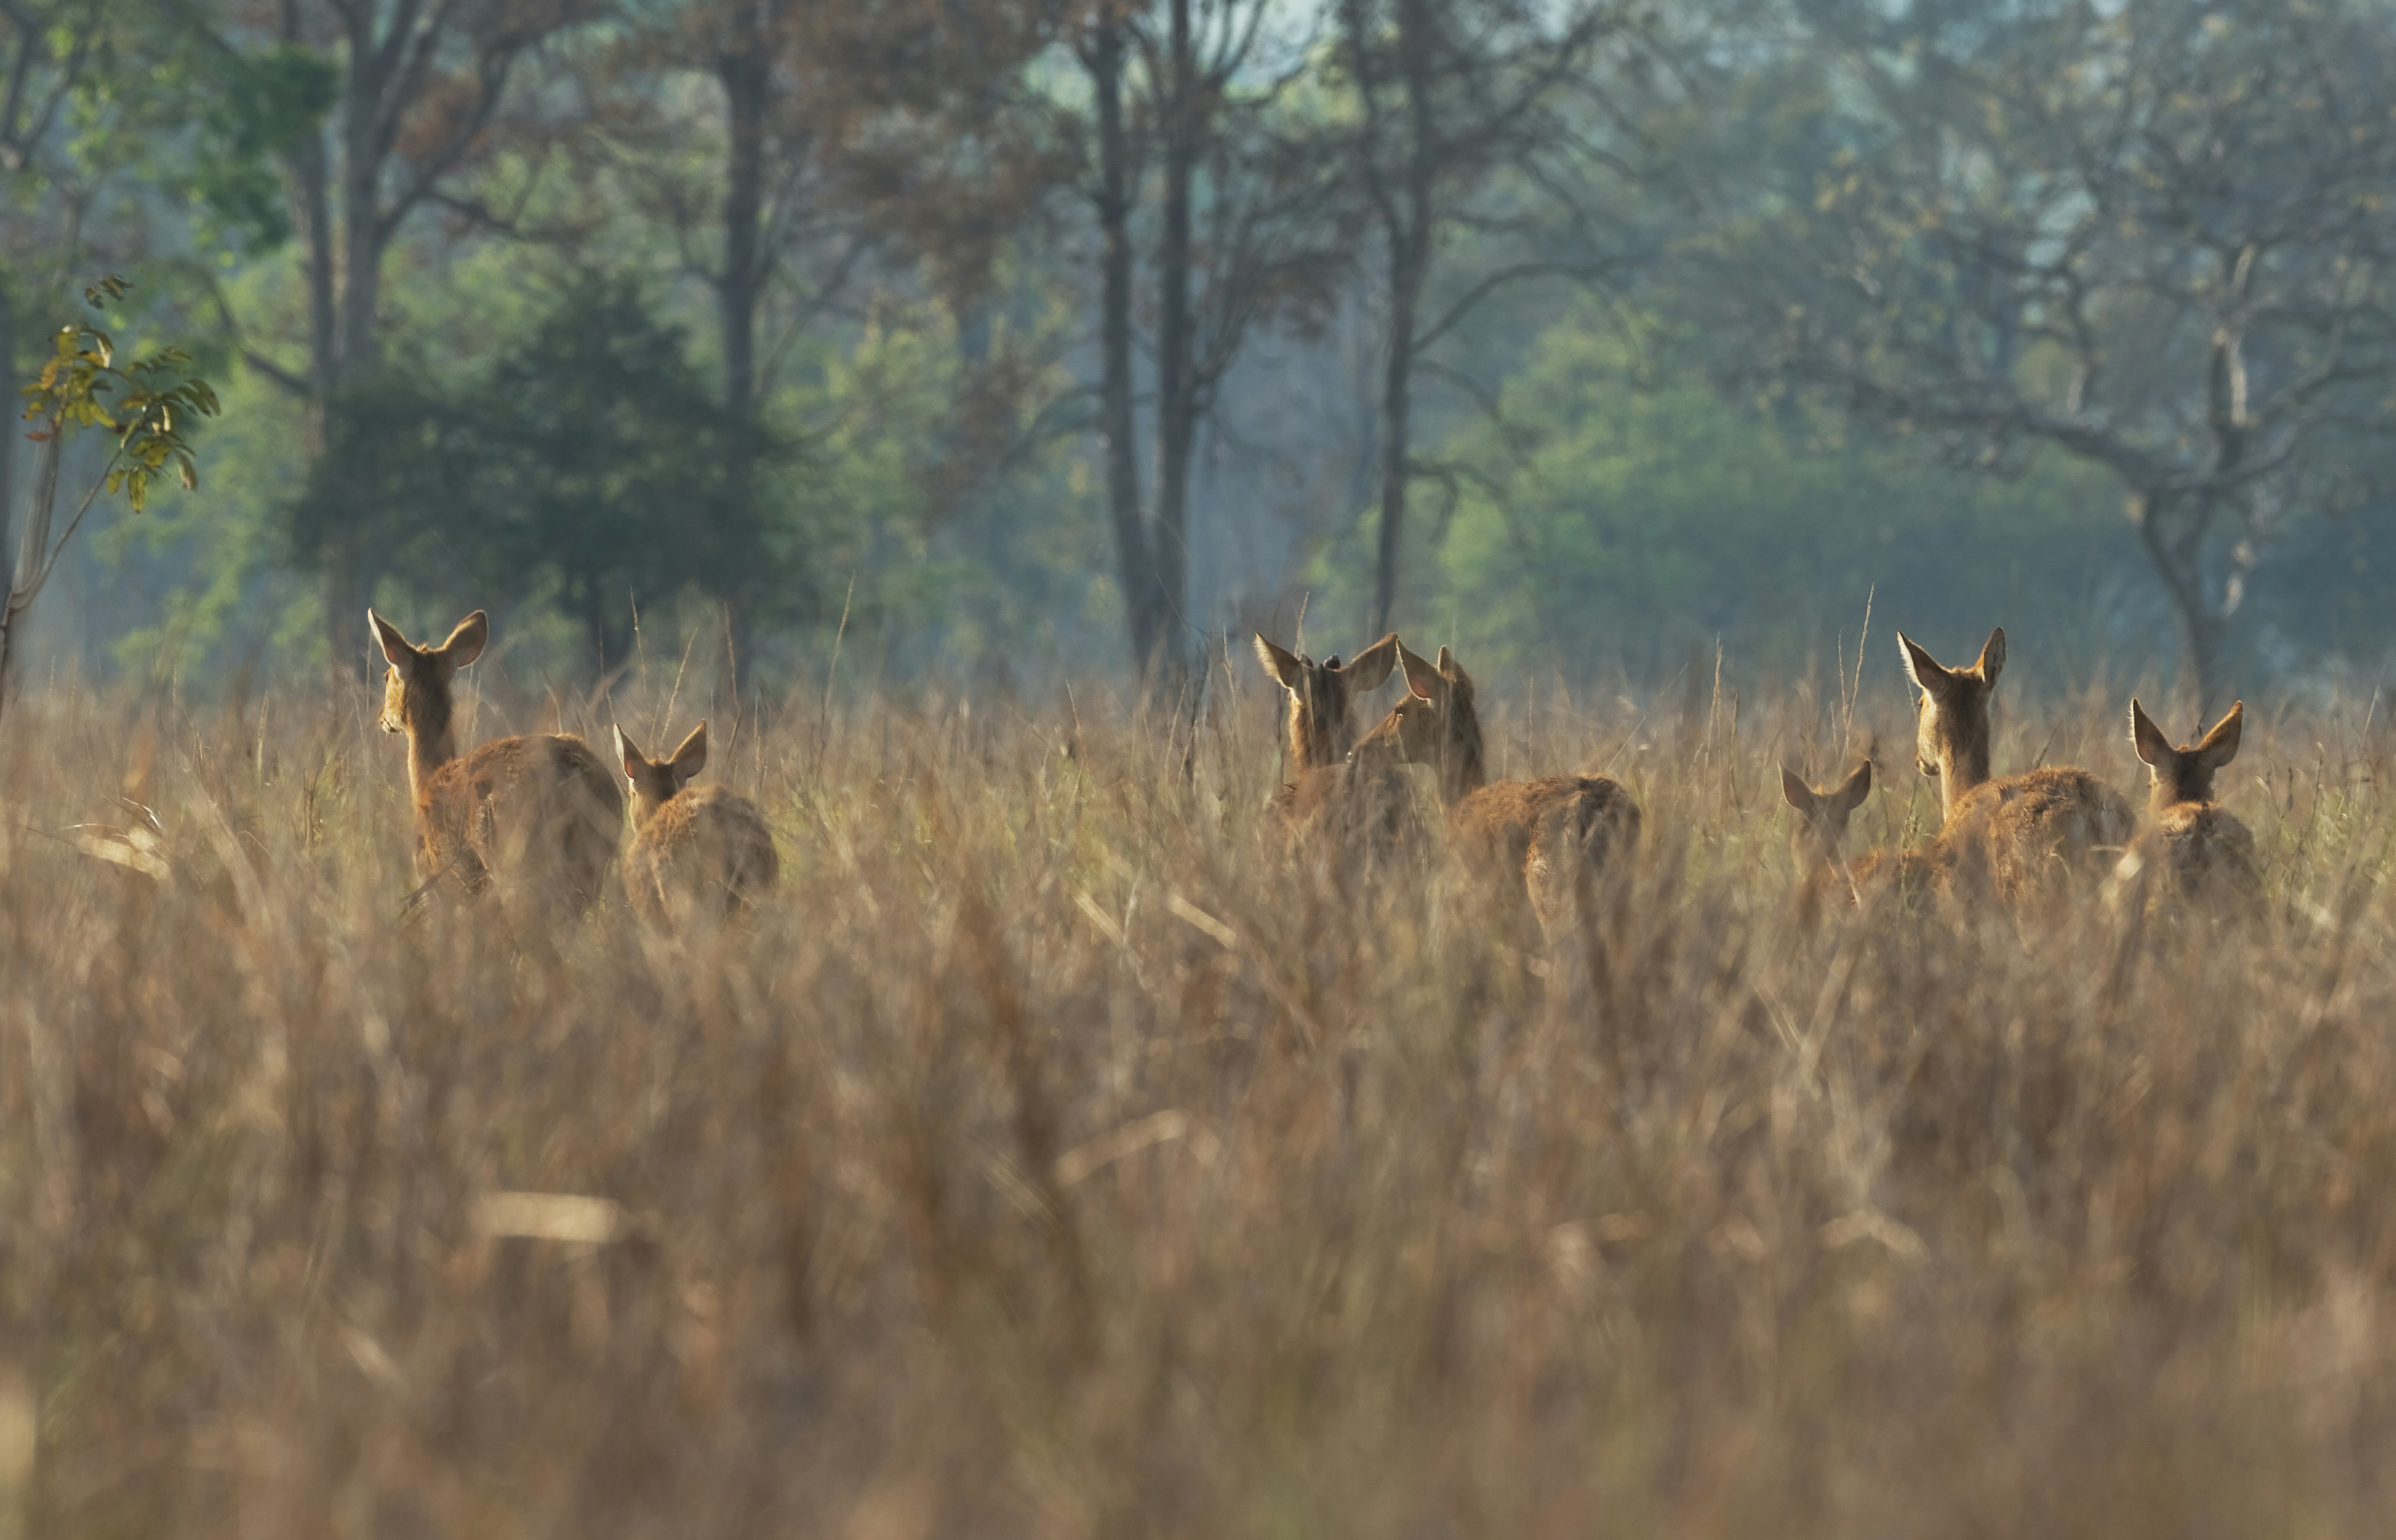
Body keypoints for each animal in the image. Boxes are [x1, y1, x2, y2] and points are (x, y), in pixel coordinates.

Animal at [369, 609, 623, 914]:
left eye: (386, 677)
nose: (382, 717)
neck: (428, 781)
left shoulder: (441, 880)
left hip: (514, 859)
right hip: (592, 862)